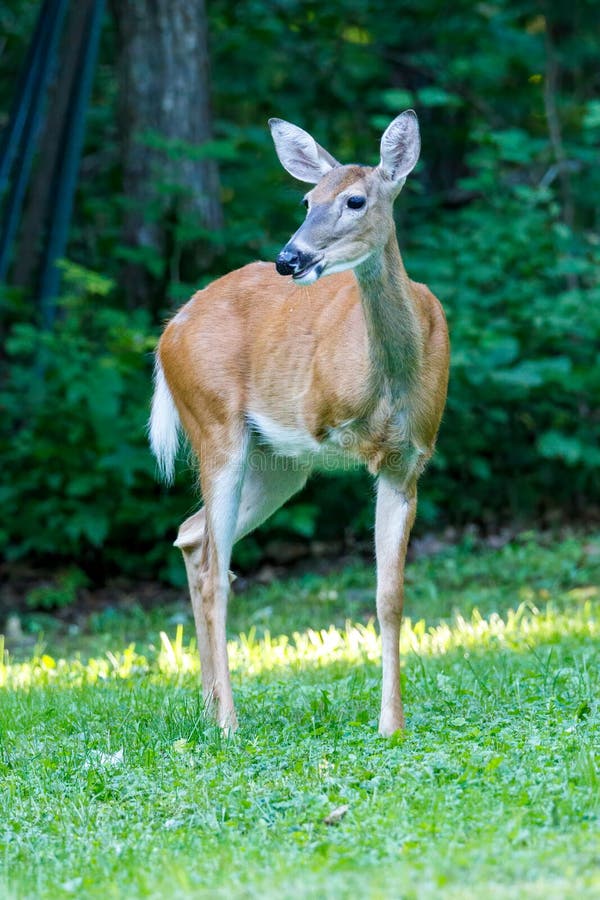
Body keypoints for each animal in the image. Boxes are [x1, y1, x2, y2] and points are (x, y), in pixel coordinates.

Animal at [149, 109, 449, 736]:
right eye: (307, 199)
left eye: (355, 200)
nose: (289, 258)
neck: (392, 375)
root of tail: (168, 333)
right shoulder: (326, 428)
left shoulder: (409, 458)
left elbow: (390, 594)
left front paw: (391, 724)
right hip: (217, 426)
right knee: (215, 569)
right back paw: (227, 722)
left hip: (279, 467)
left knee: (192, 536)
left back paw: (208, 706)